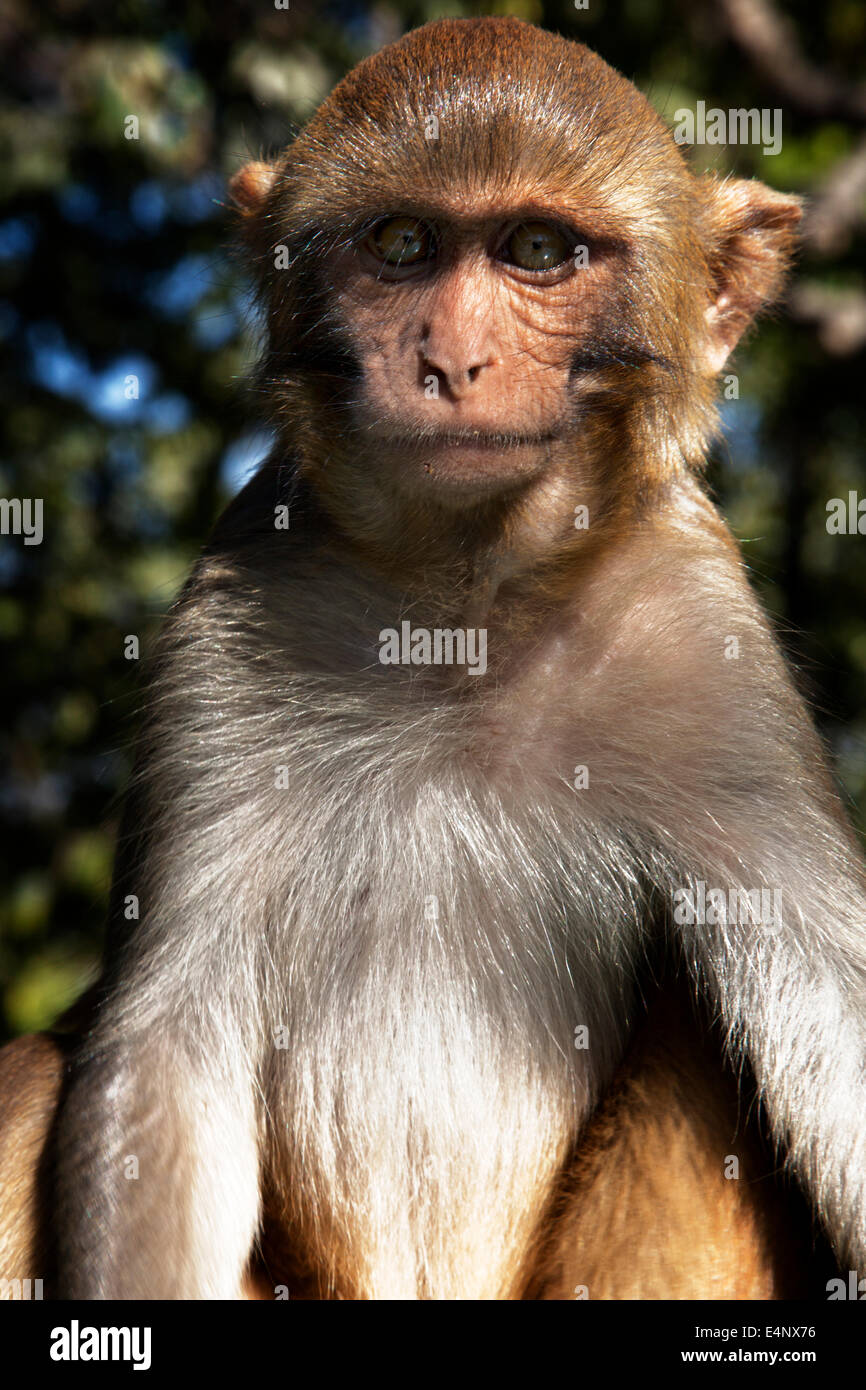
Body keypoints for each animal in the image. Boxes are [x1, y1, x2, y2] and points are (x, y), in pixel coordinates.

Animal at [1, 14, 865, 1301]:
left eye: (538, 250)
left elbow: (834, 1009)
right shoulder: (225, 633)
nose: (450, 362)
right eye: (401, 244)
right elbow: (166, 1048)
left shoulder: (706, 641)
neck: (464, 611)